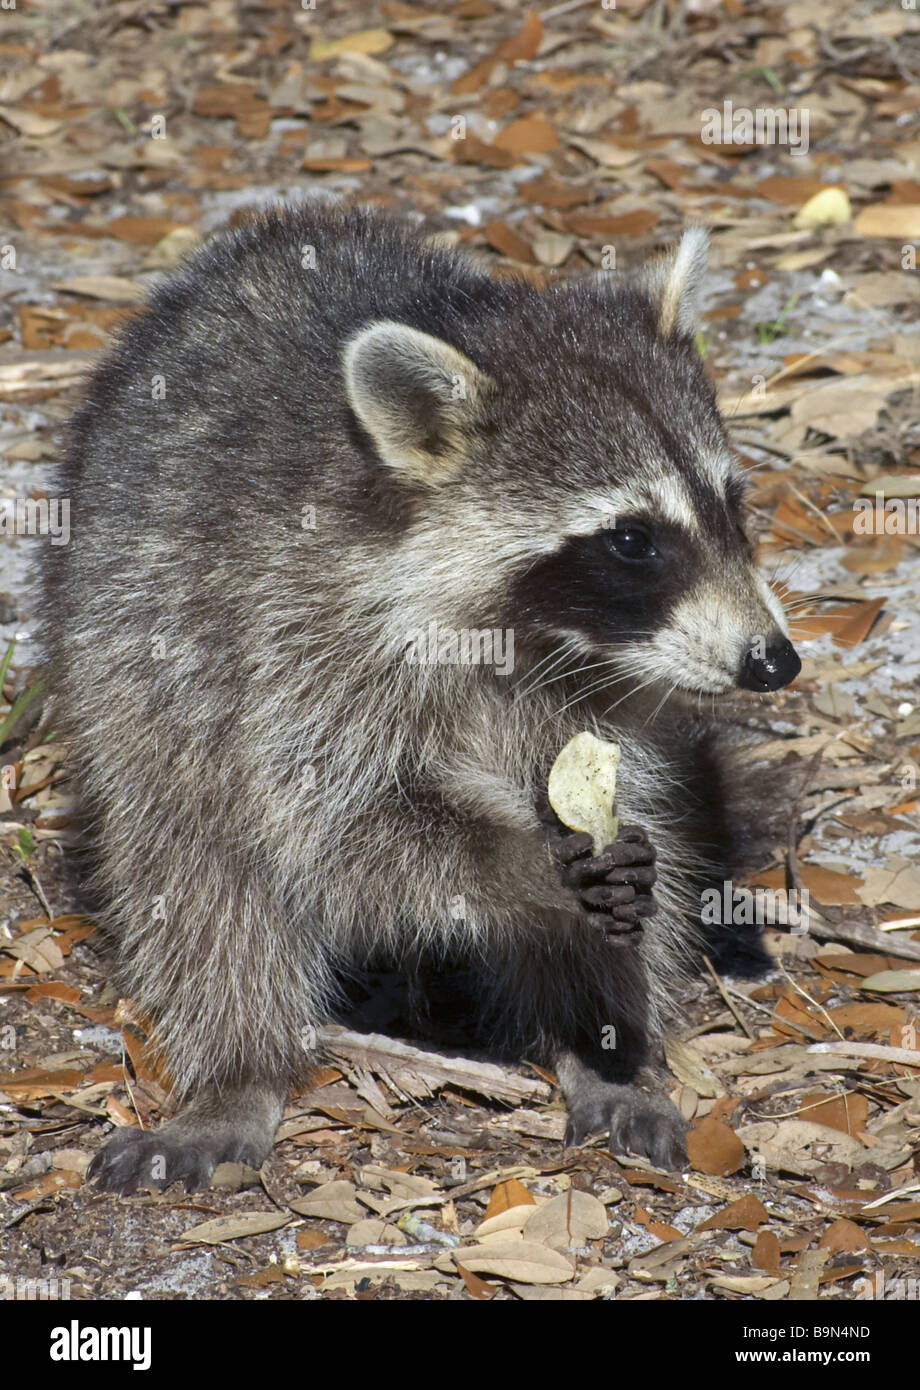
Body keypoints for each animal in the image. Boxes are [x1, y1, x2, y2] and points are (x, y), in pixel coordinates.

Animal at [42, 205, 800, 1193]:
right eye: (632, 540)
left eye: (730, 505)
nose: (774, 662)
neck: (524, 636)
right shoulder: (290, 632)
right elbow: (337, 827)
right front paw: (521, 860)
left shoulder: (608, 690)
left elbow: (636, 808)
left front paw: (607, 1004)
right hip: (133, 674)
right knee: (201, 873)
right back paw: (240, 1065)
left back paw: (603, 1044)